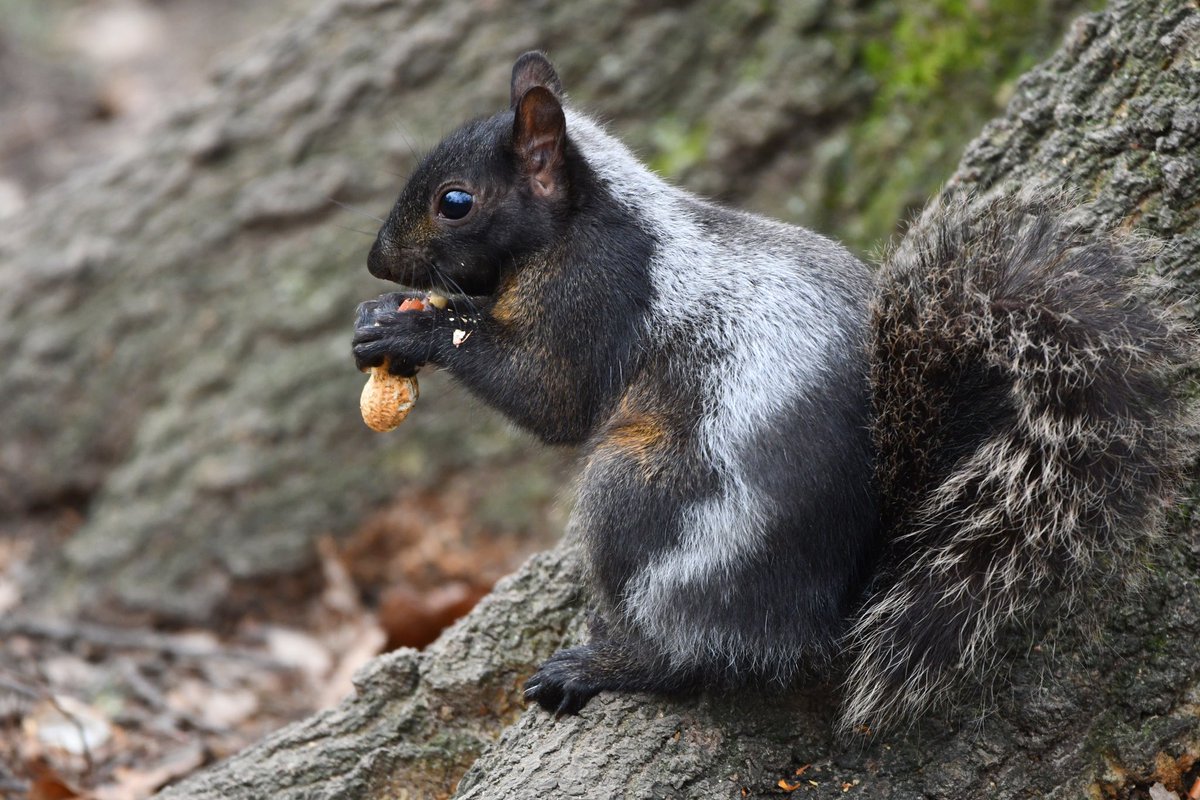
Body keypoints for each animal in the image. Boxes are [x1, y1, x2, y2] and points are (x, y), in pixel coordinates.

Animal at [351, 51, 1194, 732]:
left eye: (455, 201)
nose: (376, 260)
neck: (590, 218)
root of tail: (823, 608)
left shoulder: (594, 298)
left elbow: (550, 397)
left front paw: (414, 330)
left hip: (639, 496)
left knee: (683, 653)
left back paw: (607, 663)